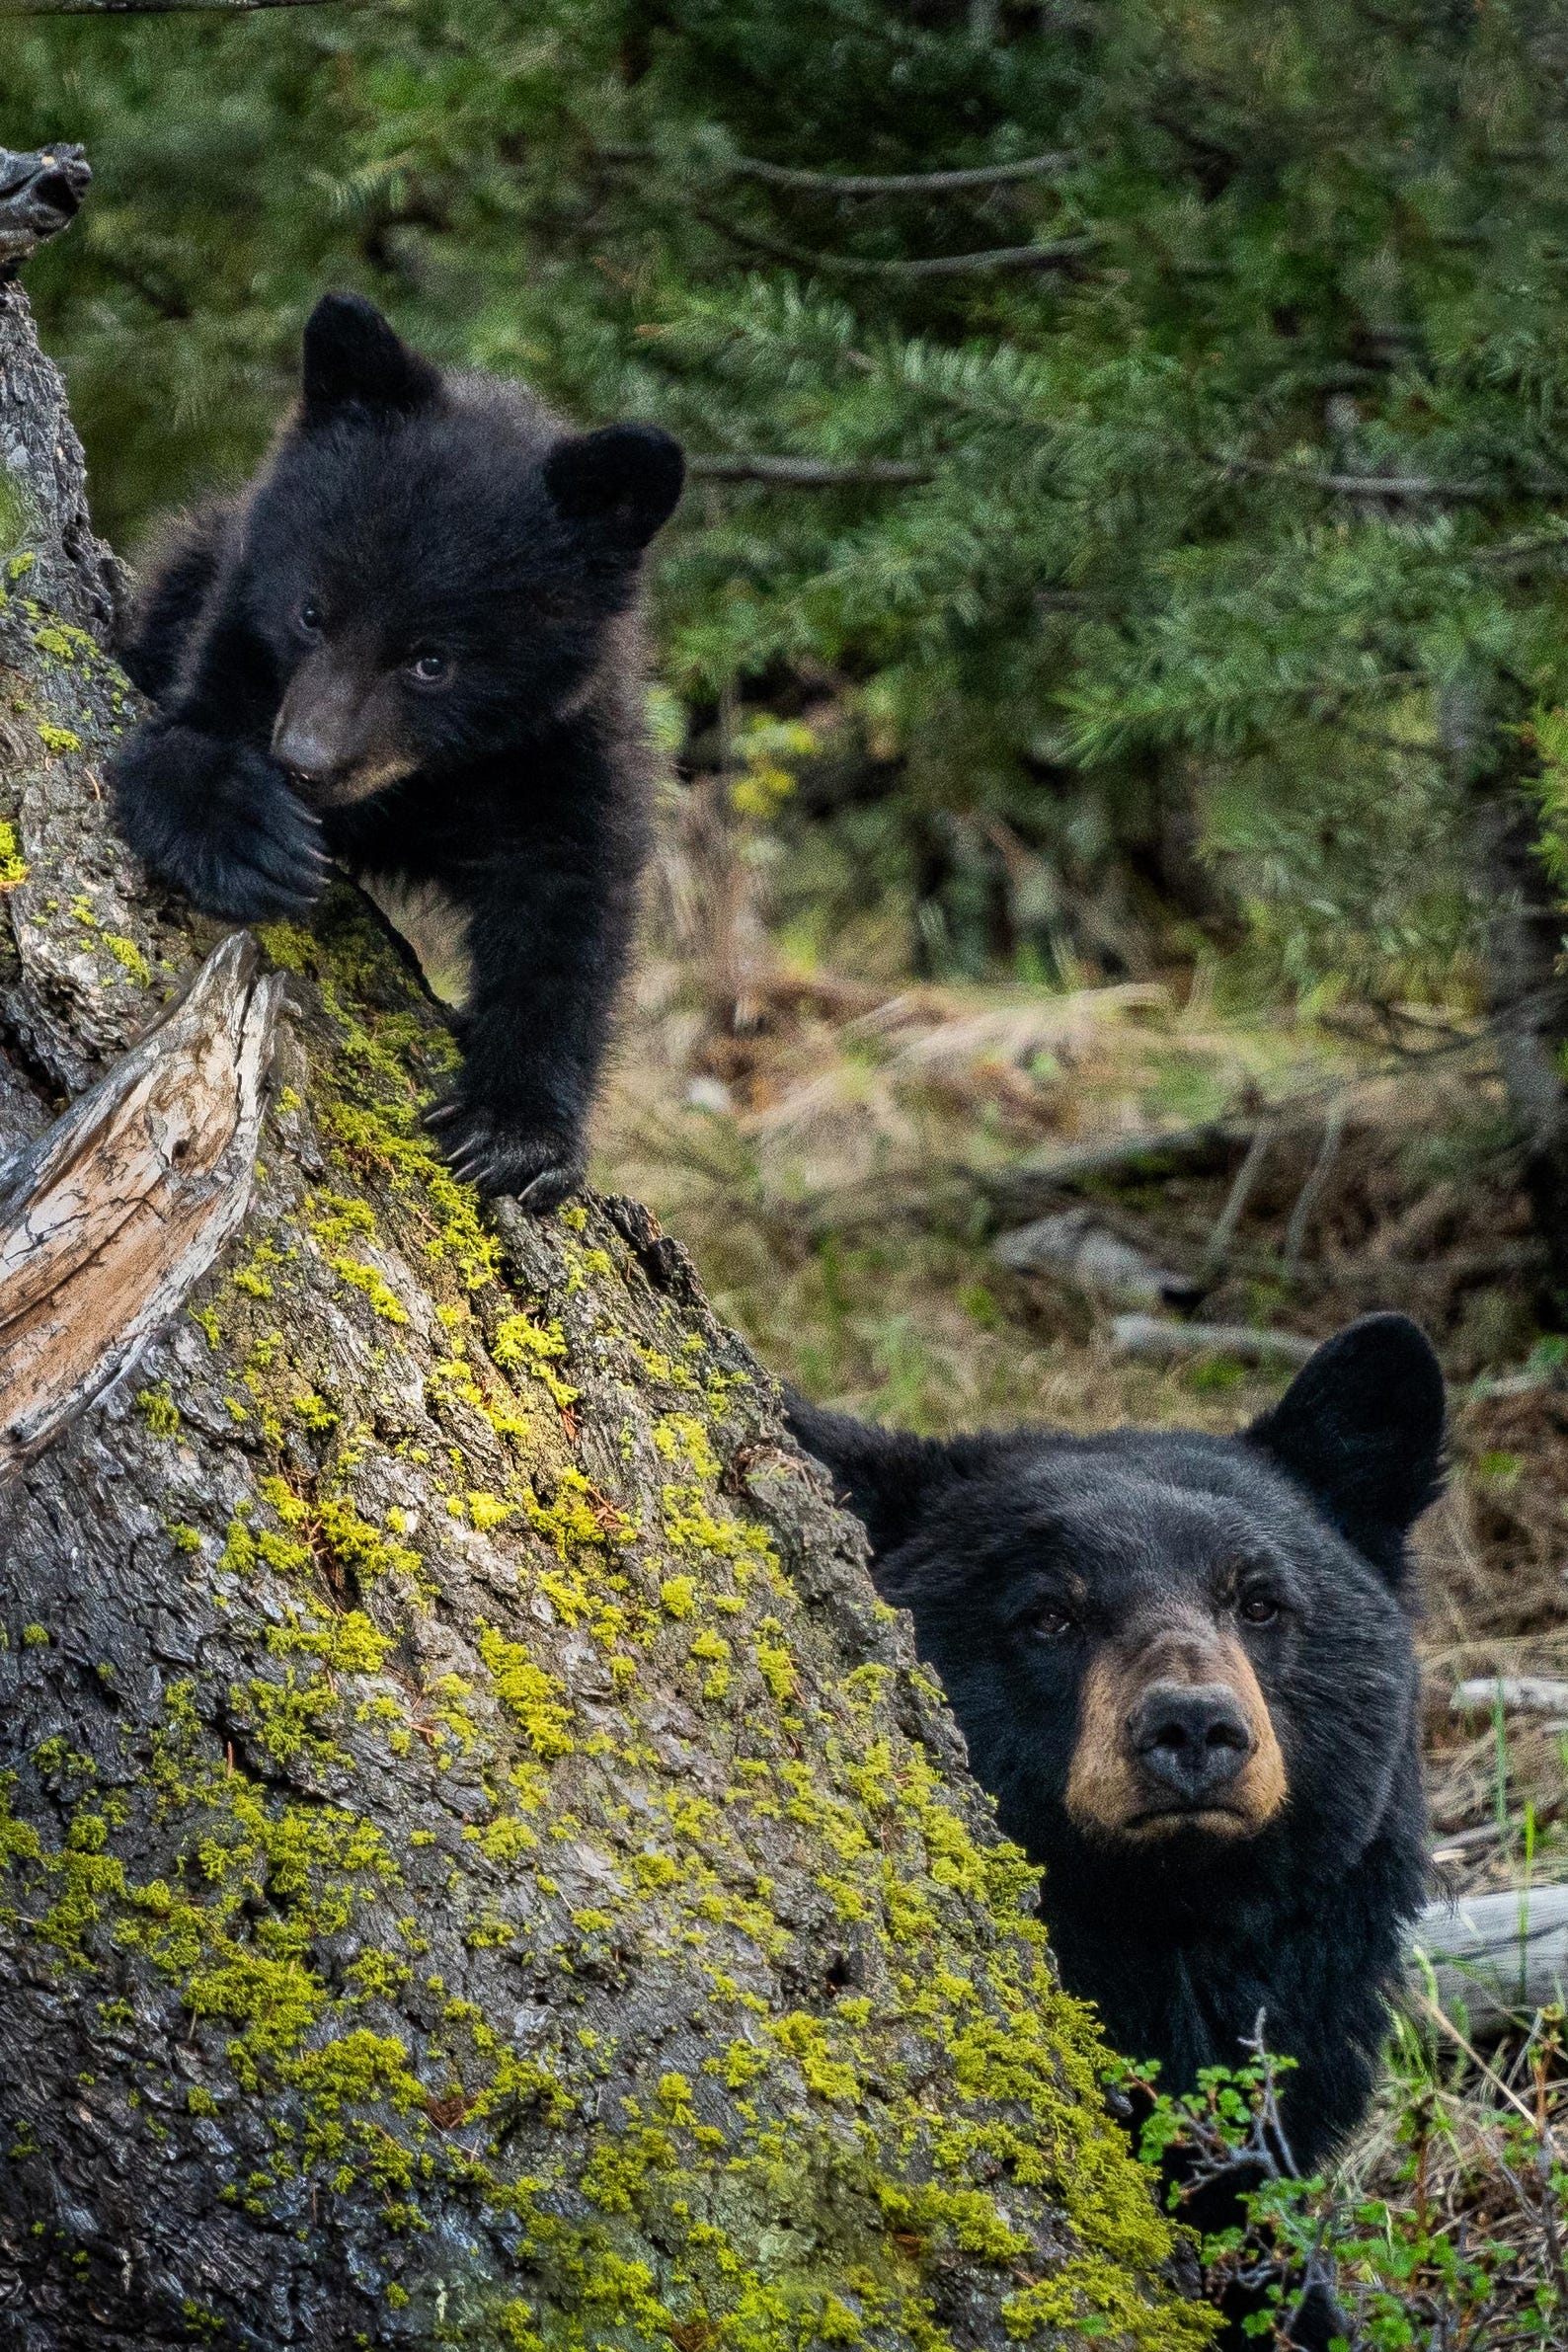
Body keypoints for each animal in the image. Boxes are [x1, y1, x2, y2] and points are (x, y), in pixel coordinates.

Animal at [111, 291, 685, 1208]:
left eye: (432, 661)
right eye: (312, 611)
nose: (304, 760)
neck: (424, 784)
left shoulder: (564, 747)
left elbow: (569, 904)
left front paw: (514, 1132)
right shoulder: (234, 622)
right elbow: (188, 728)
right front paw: (249, 836)